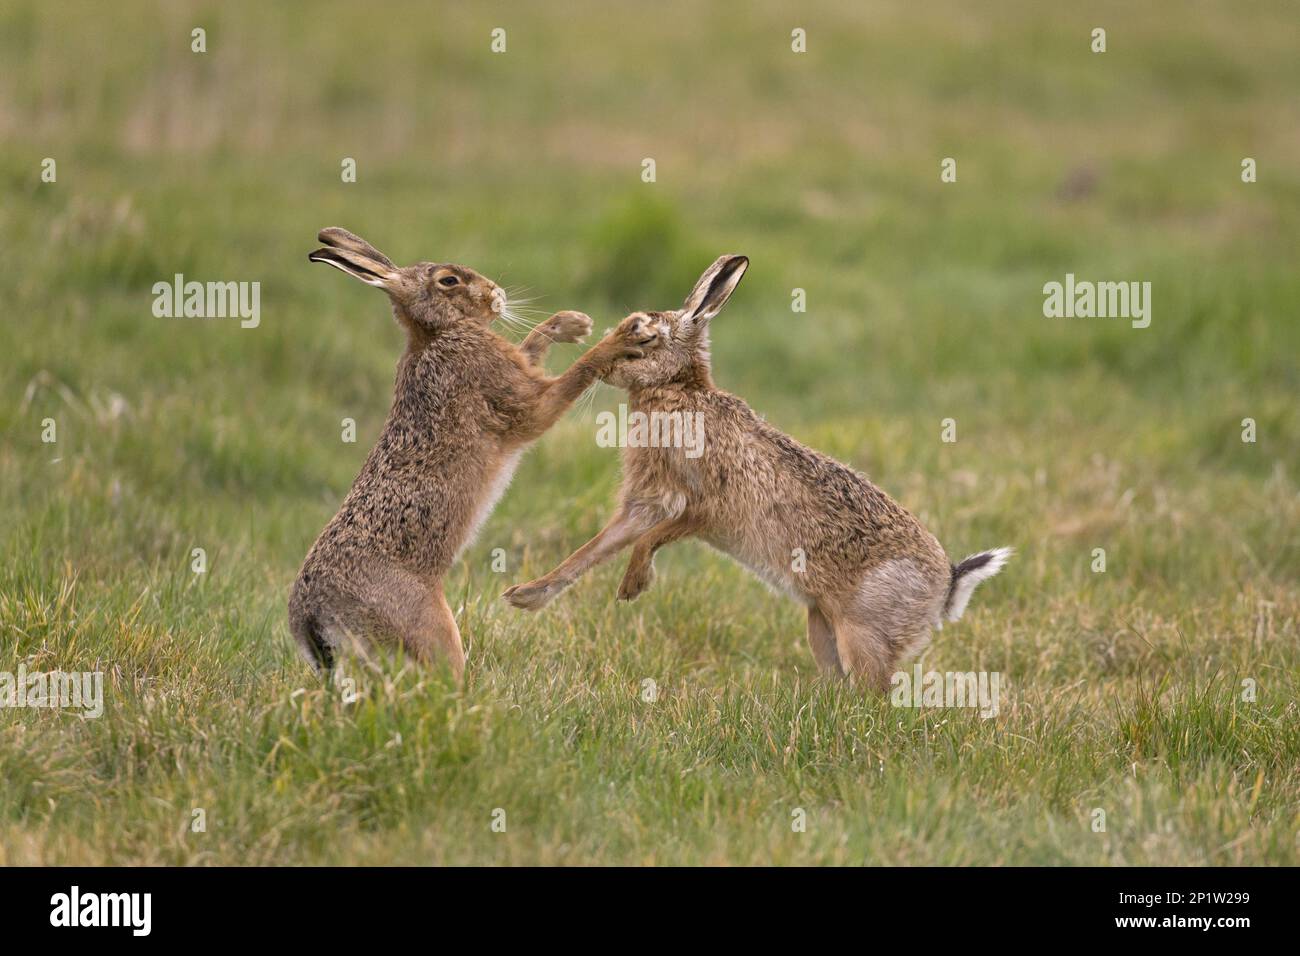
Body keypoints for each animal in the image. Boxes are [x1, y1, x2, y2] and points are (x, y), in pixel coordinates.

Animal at [289, 227, 645, 678]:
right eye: (449, 281)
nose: (498, 293)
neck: (439, 332)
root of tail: (311, 617)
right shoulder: (519, 402)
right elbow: (569, 380)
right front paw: (618, 340)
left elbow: (531, 346)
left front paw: (571, 323)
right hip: (430, 625)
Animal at [503, 254, 1011, 690]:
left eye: (644, 338)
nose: (604, 365)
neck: (679, 392)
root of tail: (946, 586)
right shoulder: (648, 500)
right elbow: (595, 548)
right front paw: (526, 596)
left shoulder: (706, 506)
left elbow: (652, 538)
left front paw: (633, 586)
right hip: (821, 622)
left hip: (863, 630)